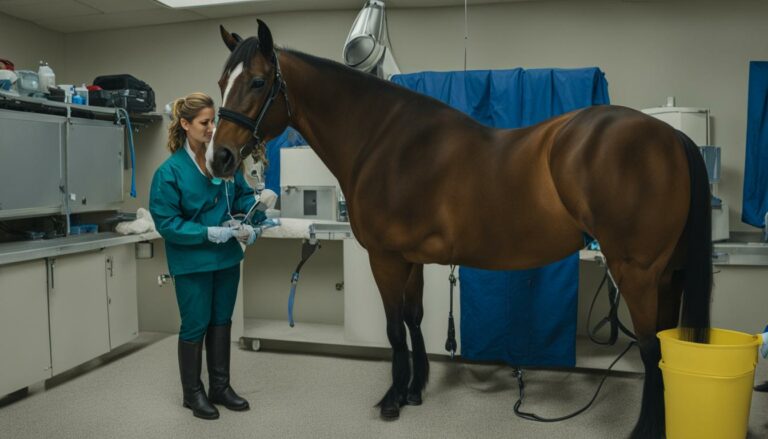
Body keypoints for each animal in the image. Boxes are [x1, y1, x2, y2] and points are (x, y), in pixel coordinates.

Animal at [207, 20, 712, 438]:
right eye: (221, 83)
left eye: (257, 82)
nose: (219, 157)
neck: (385, 143)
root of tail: (671, 135)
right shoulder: (410, 259)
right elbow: (413, 319)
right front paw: (414, 391)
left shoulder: (384, 258)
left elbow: (393, 328)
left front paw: (392, 400)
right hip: (667, 274)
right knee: (665, 344)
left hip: (637, 272)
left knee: (649, 349)